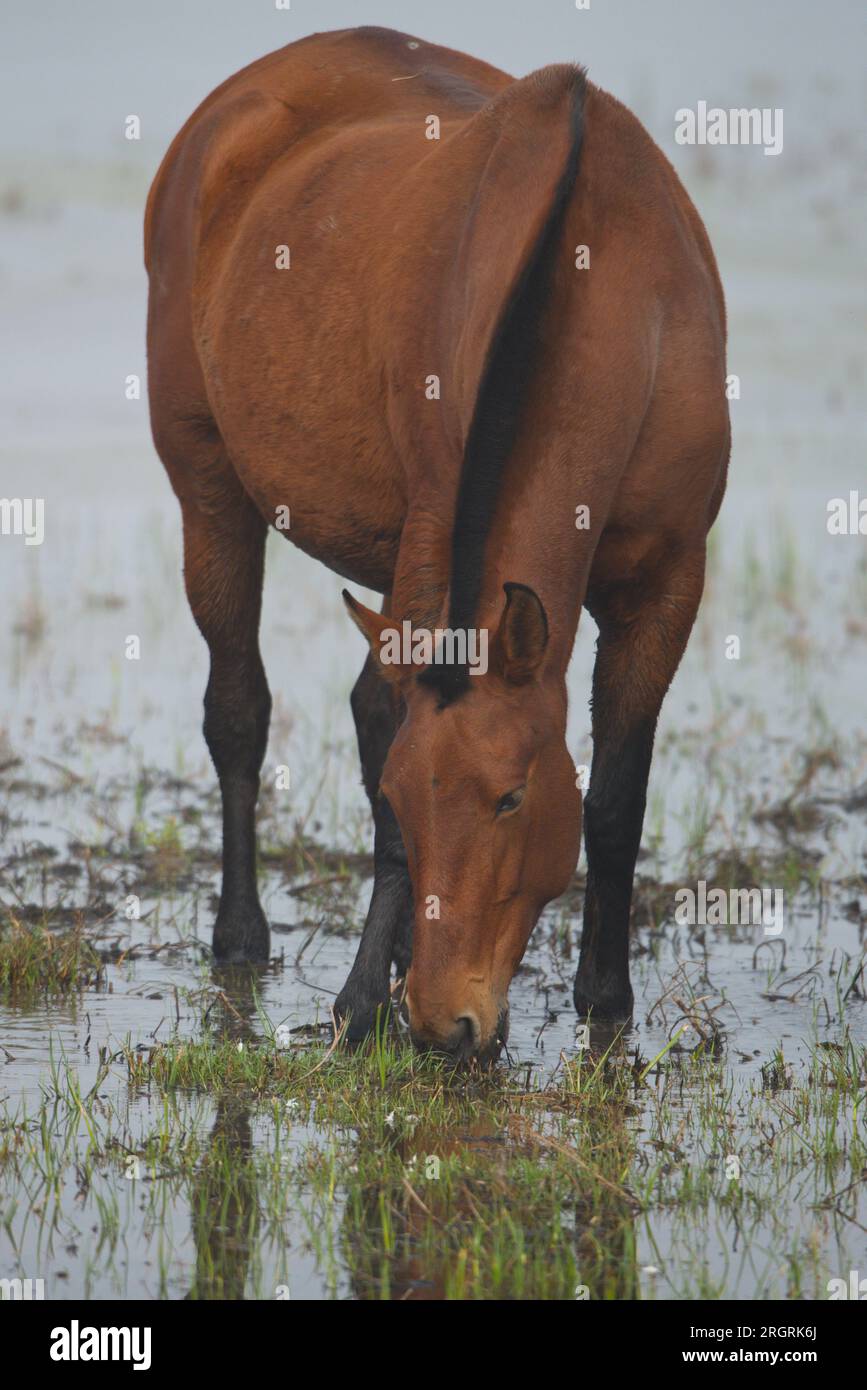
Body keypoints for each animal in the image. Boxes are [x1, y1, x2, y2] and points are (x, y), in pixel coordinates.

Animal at [145, 25, 729, 1064]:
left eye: (510, 798)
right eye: (403, 794)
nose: (444, 1019)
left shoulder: (667, 584)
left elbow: (616, 799)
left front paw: (605, 998)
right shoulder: (432, 534)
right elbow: (378, 747)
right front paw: (361, 1002)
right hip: (209, 490)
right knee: (238, 711)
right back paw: (243, 936)